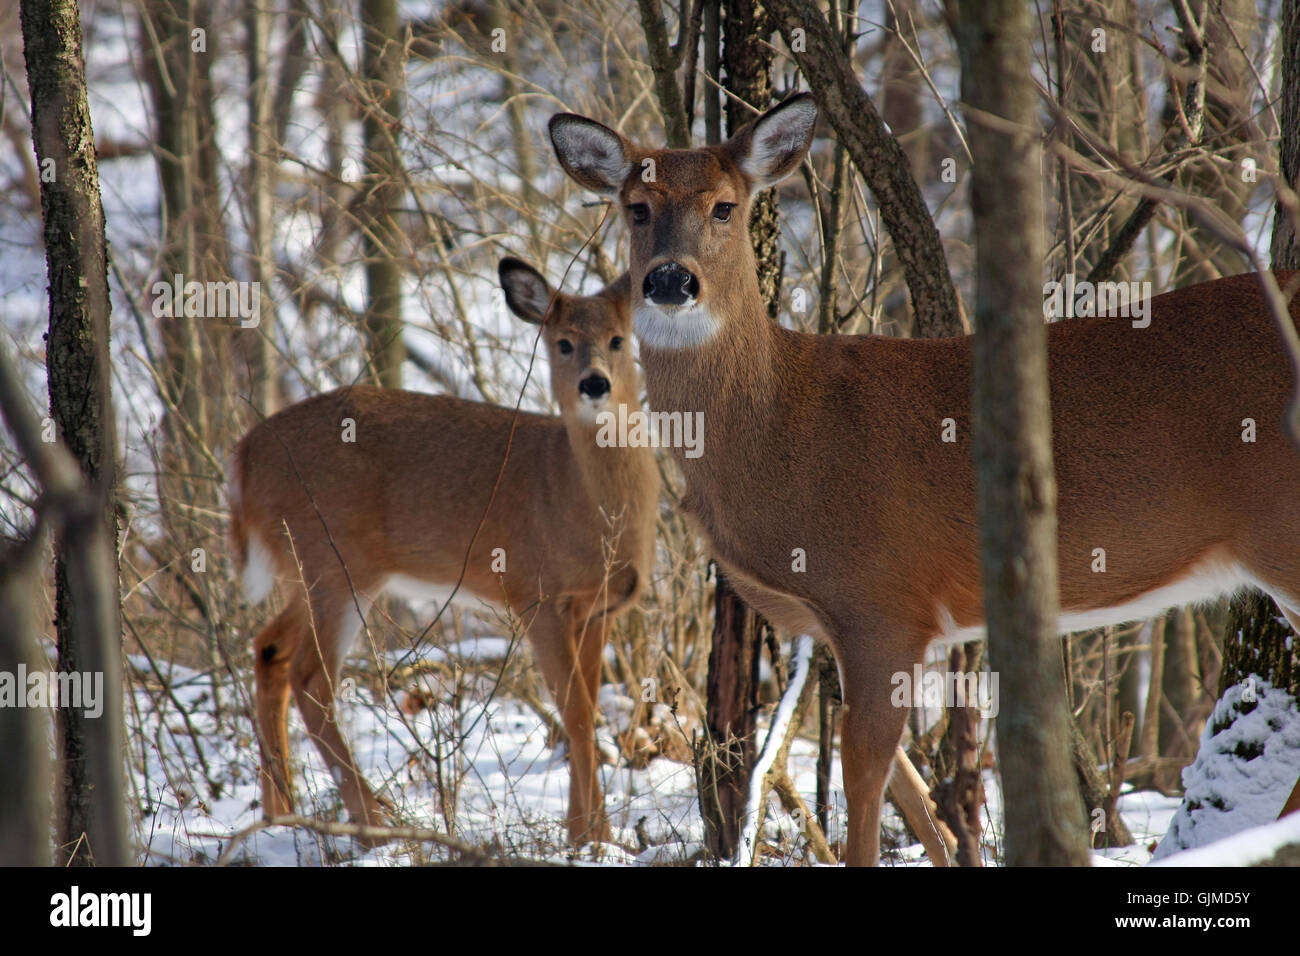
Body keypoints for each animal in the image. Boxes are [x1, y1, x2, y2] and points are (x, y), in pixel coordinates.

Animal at [227, 257, 660, 846]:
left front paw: (599, 833)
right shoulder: (537, 595)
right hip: (335, 561)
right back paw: (373, 824)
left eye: (618, 338)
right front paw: (585, 839)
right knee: (312, 679)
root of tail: (245, 455)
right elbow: (573, 714)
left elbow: (589, 712)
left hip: (311, 571)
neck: (573, 490)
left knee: (270, 648)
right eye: (563, 343)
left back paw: (281, 818)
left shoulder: (600, 607)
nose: (595, 383)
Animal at [548, 92, 1300, 865]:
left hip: (1283, 530)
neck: (783, 426)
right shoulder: (851, 625)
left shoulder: (881, 599)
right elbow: (914, 796)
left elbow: (865, 778)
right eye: (636, 206)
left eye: (725, 206)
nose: (670, 280)